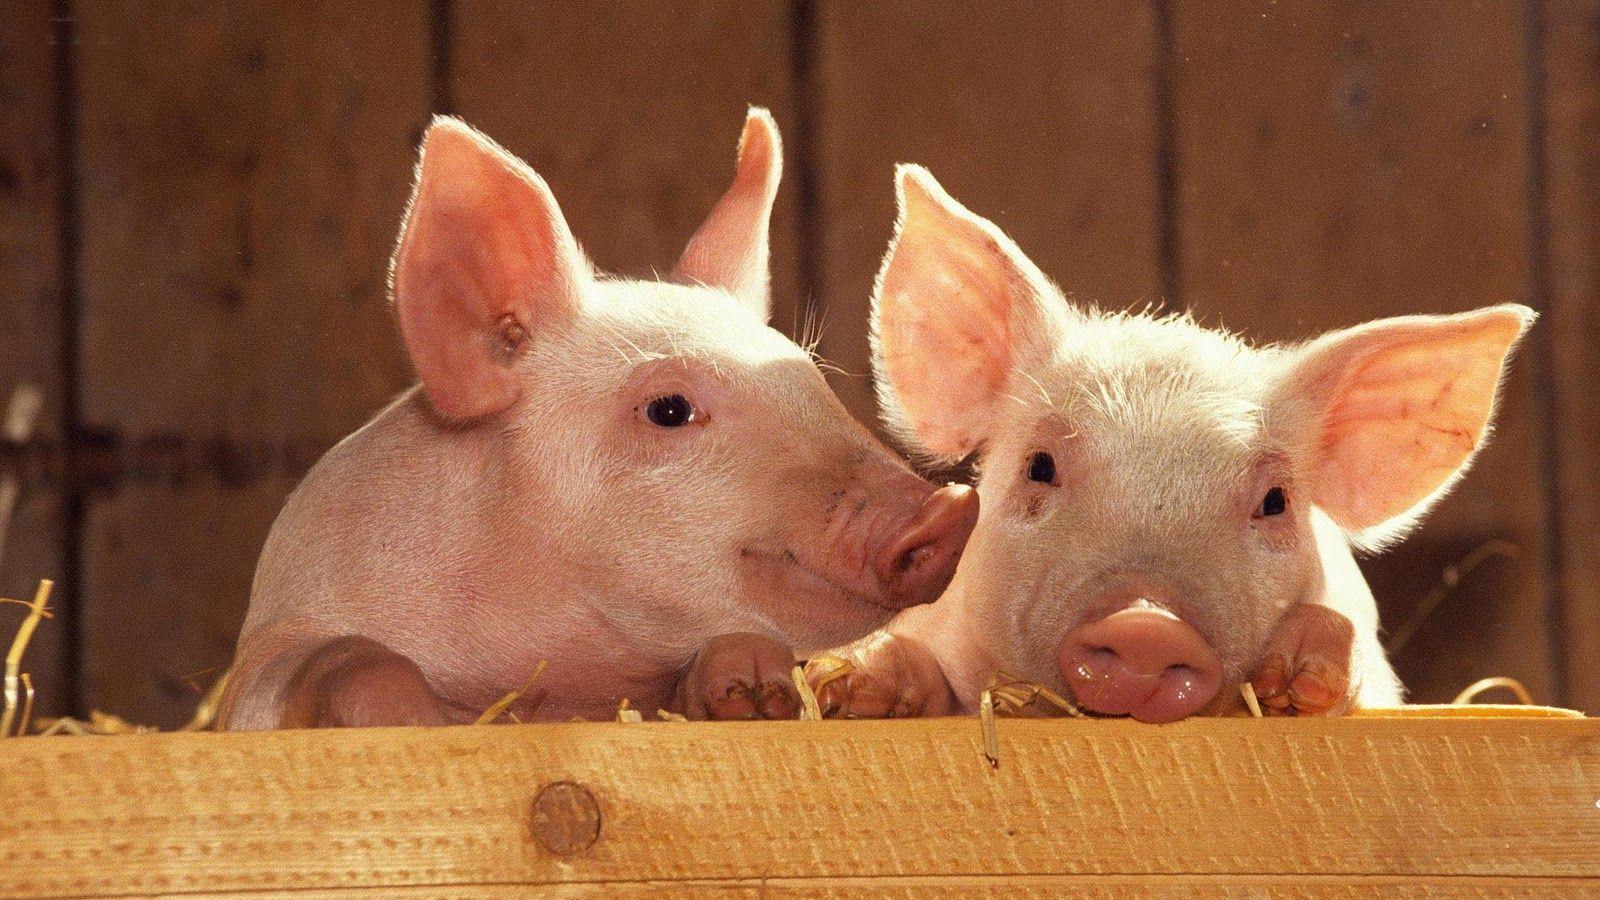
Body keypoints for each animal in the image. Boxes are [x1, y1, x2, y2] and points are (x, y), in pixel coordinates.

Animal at [215, 112, 977, 730]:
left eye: (811, 380)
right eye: (669, 409)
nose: (948, 508)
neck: (553, 674)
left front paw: (761, 685)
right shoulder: (271, 647)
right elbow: (342, 660)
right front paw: (421, 722)